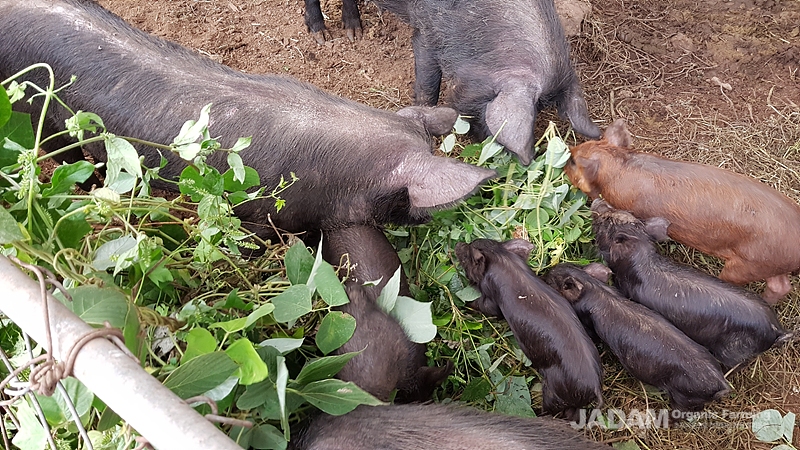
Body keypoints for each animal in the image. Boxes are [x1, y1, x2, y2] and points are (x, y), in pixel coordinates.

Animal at [455, 239, 603, 420]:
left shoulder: (492, 297)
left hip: (555, 391)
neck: (500, 257)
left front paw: (464, 302)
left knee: (551, 407)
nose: (457, 245)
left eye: (467, 255)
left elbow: (488, 308)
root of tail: (595, 388)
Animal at [545, 263, 731, 412]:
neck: (594, 288)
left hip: (684, 395)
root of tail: (720, 382)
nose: (547, 271)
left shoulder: (587, 319)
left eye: (555, 279)